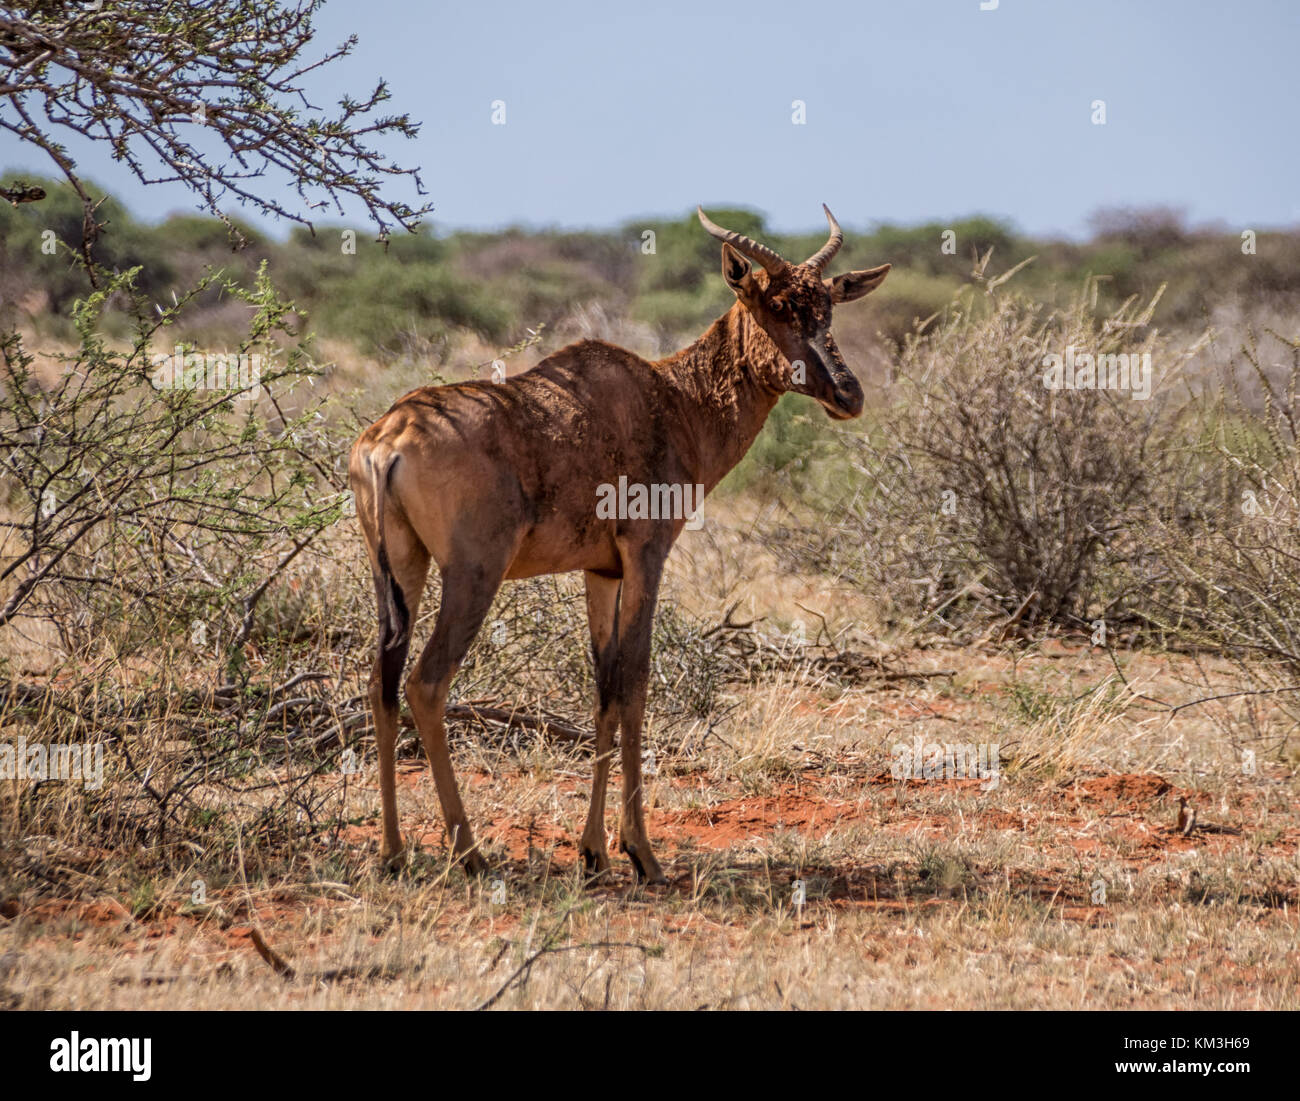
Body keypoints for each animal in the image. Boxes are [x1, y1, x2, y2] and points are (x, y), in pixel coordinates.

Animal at [349, 205, 890, 883]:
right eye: (776, 306)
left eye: (825, 307)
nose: (850, 394)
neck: (668, 397)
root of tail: (389, 439)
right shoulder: (646, 555)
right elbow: (635, 678)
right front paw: (642, 854)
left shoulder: (600, 572)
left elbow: (604, 686)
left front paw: (594, 853)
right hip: (473, 575)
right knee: (426, 684)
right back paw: (470, 854)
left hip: (399, 571)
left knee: (382, 681)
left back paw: (394, 853)